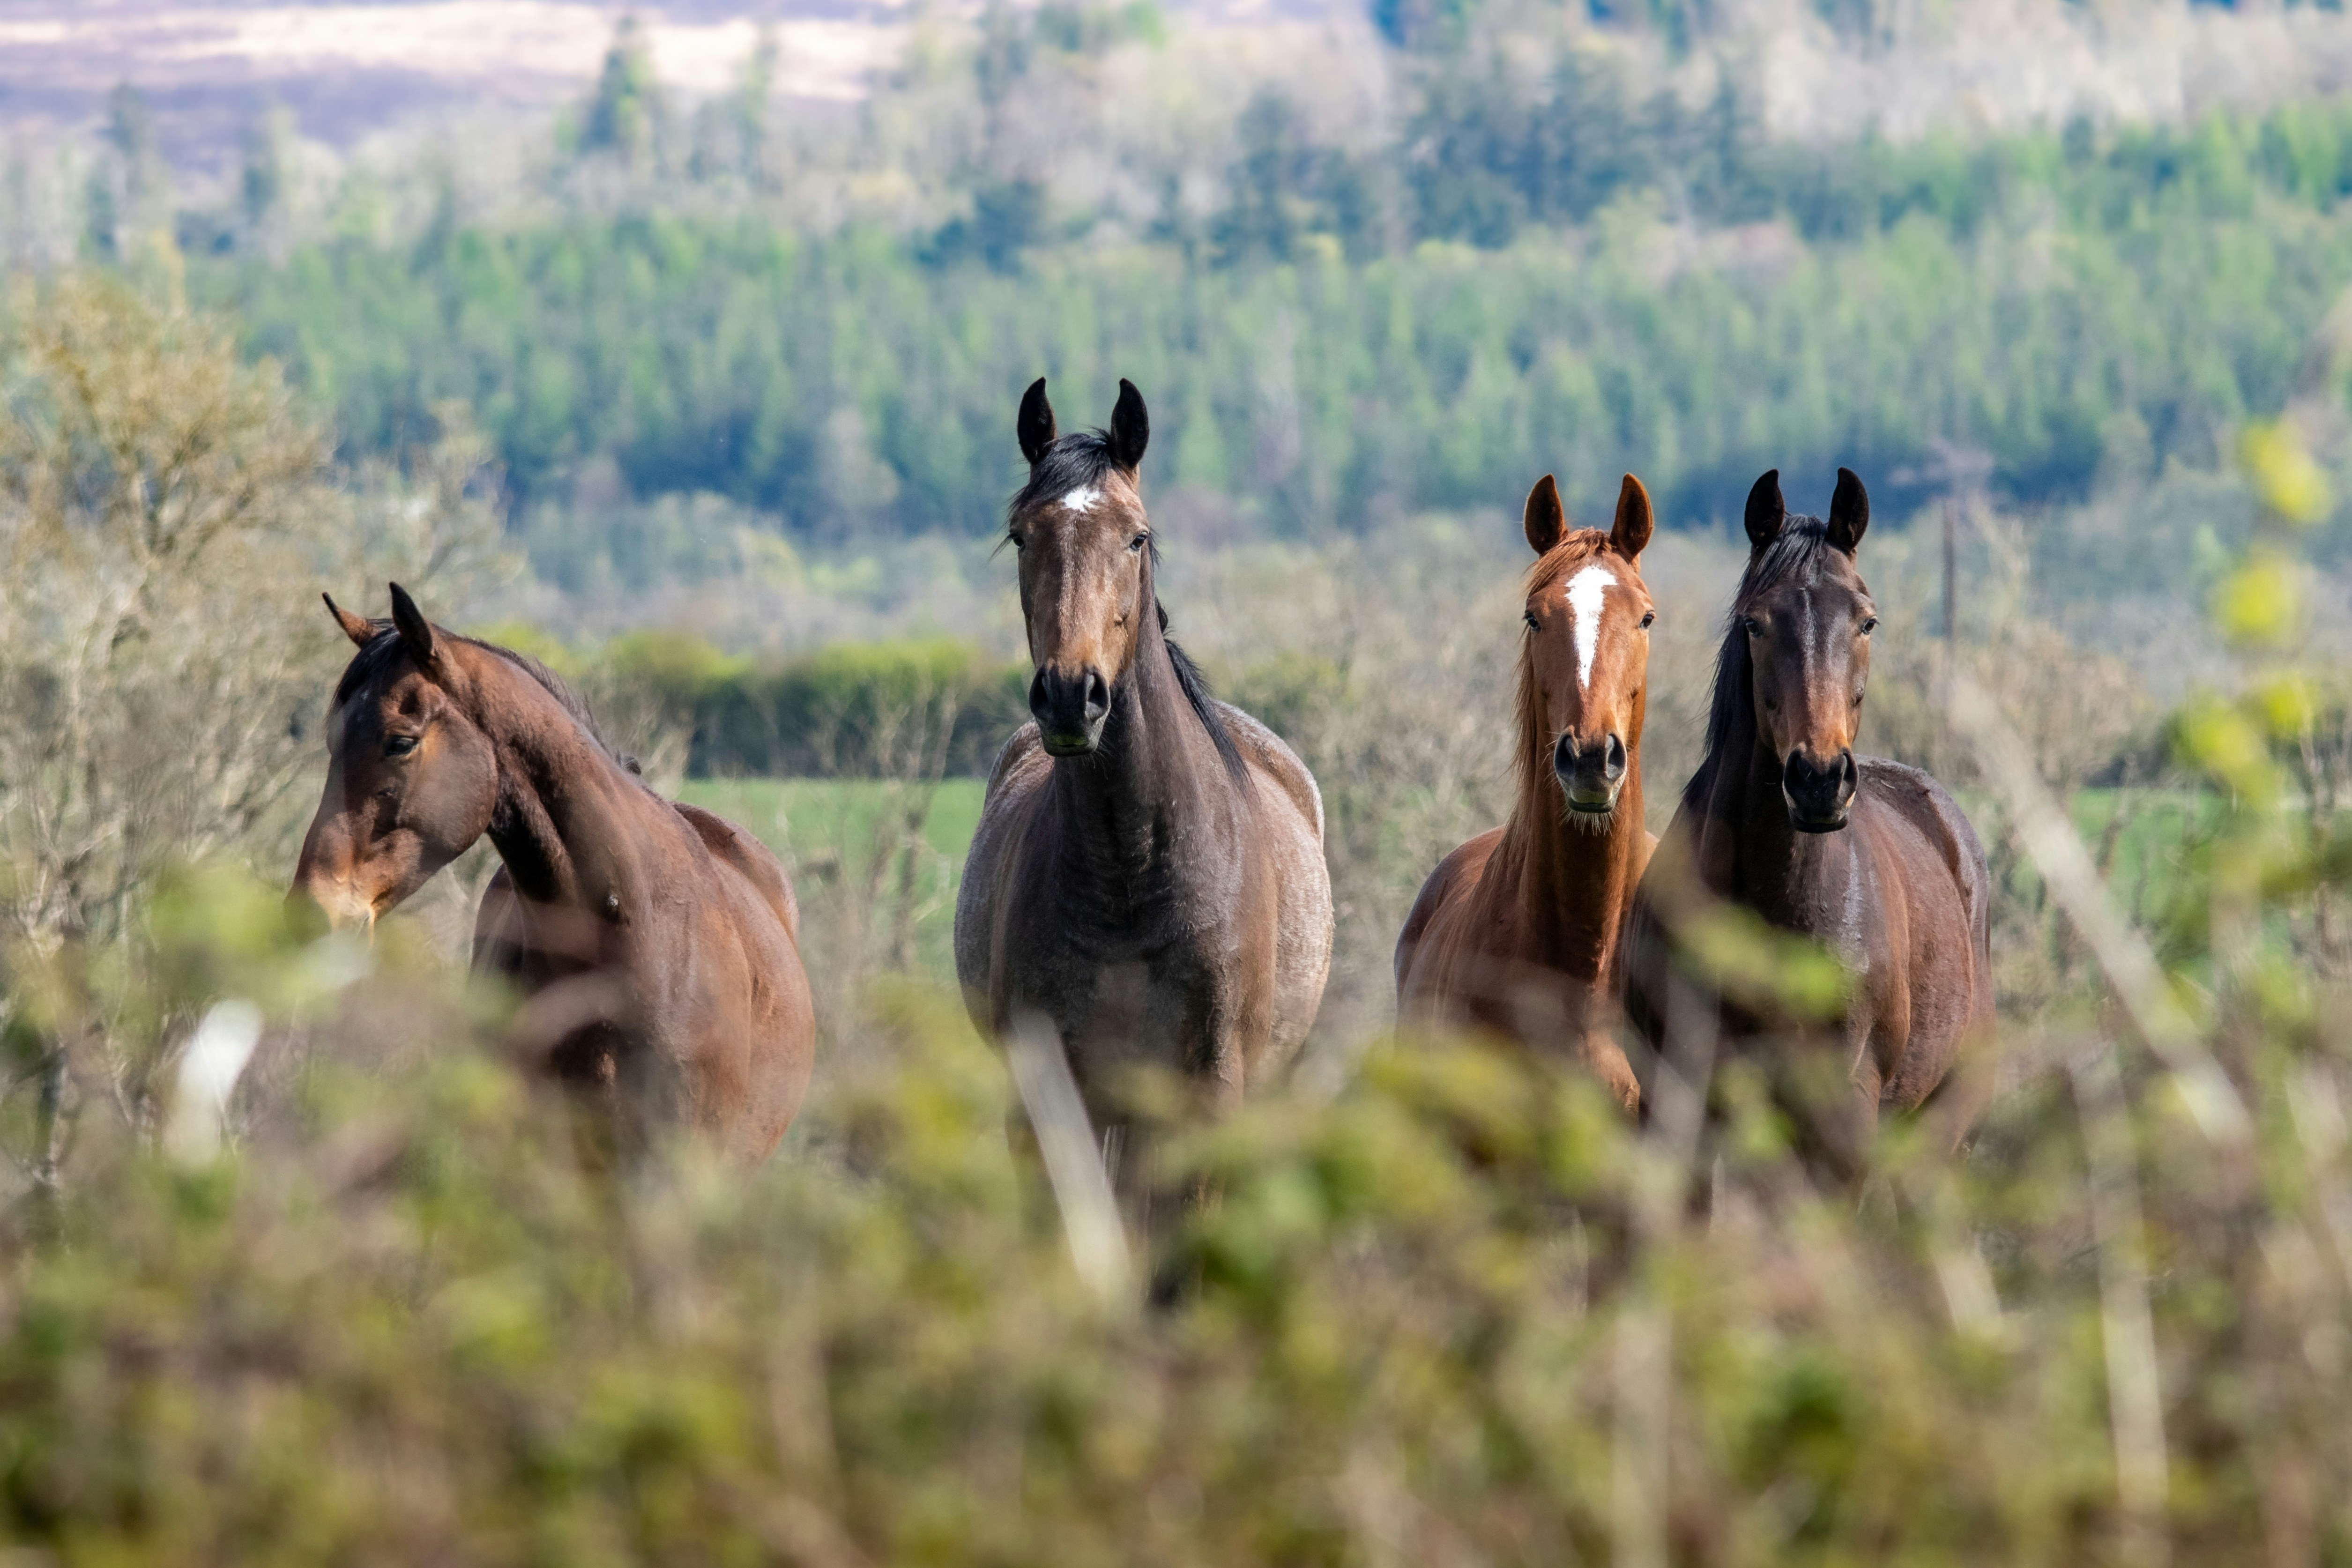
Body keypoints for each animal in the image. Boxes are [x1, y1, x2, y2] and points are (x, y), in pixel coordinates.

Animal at [954, 377, 1334, 1213]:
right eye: (1022, 537)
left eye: (1134, 537)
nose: (1072, 696)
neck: (1127, 866)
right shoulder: (1048, 1097)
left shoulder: (1211, 1093)